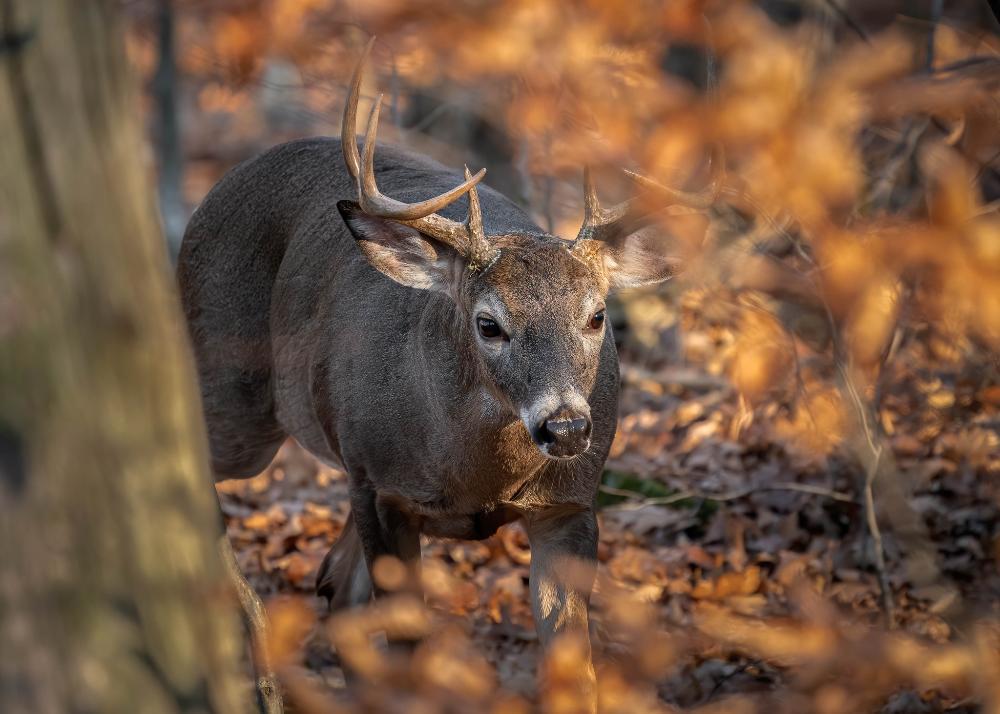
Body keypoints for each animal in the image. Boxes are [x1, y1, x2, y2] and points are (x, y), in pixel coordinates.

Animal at [178, 39, 718, 709]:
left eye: (597, 315)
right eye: (489, 323)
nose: (566, 427)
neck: (476, 475)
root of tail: (219, 188)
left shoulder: (569, 504)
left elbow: (574, 669)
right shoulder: (383, 489)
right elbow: (409, 645)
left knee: (335, 583)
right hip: (236, 398)